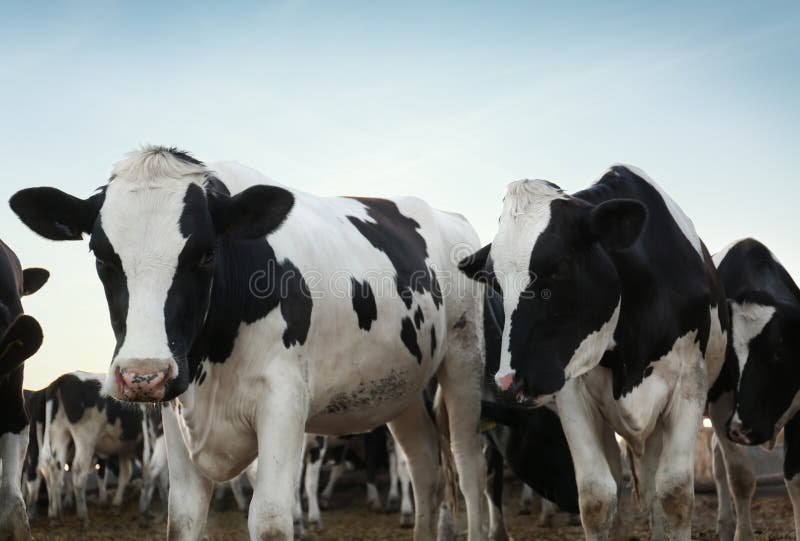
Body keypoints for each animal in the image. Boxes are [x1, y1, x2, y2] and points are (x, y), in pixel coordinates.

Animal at [10, 145, 489, 541]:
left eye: (206, 253)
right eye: (101, 255)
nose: (143, 375)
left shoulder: (283, 401)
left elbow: (272, 519)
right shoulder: (176, 414)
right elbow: (182, 518)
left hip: (465, 364)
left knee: (468, 470)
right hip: (404, 390)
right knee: (425, 472)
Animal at [459, 165, 733, 540]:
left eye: (558, 267)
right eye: (495, 283)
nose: (508, 382)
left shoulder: (691, 383)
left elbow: (675, 496)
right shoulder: (572, 391)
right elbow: (597, 499)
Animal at [710, 238, 800, 540]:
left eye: (779, 353)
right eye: (729, 358)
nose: (742, 430)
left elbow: (794, 477)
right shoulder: (720, 405)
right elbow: (740, 478)